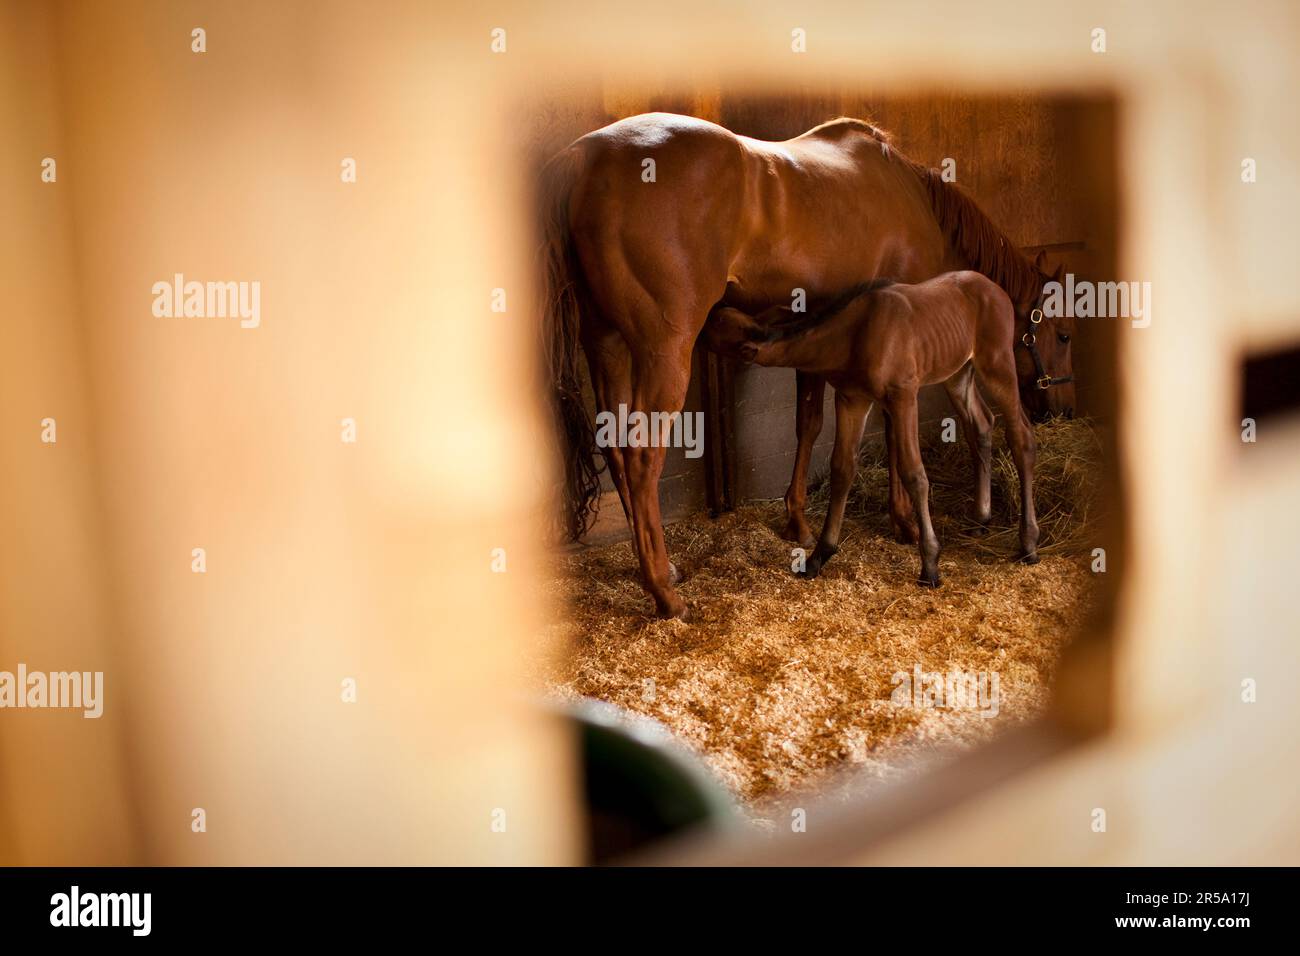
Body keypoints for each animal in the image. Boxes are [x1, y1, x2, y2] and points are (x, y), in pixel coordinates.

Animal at [706, 272, 1040, 586]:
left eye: (716, 325)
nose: (710, 309)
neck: (855, 334)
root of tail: (996, 290)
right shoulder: (851, 399)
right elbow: (842, 468)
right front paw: (818, 557)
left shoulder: (904, 396)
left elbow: (914, 473)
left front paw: (930, 563)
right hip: (958, 373)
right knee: (981, 424)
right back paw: (981, 519)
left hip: (997, 364)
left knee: (1021, 435)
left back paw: (1028, 543)